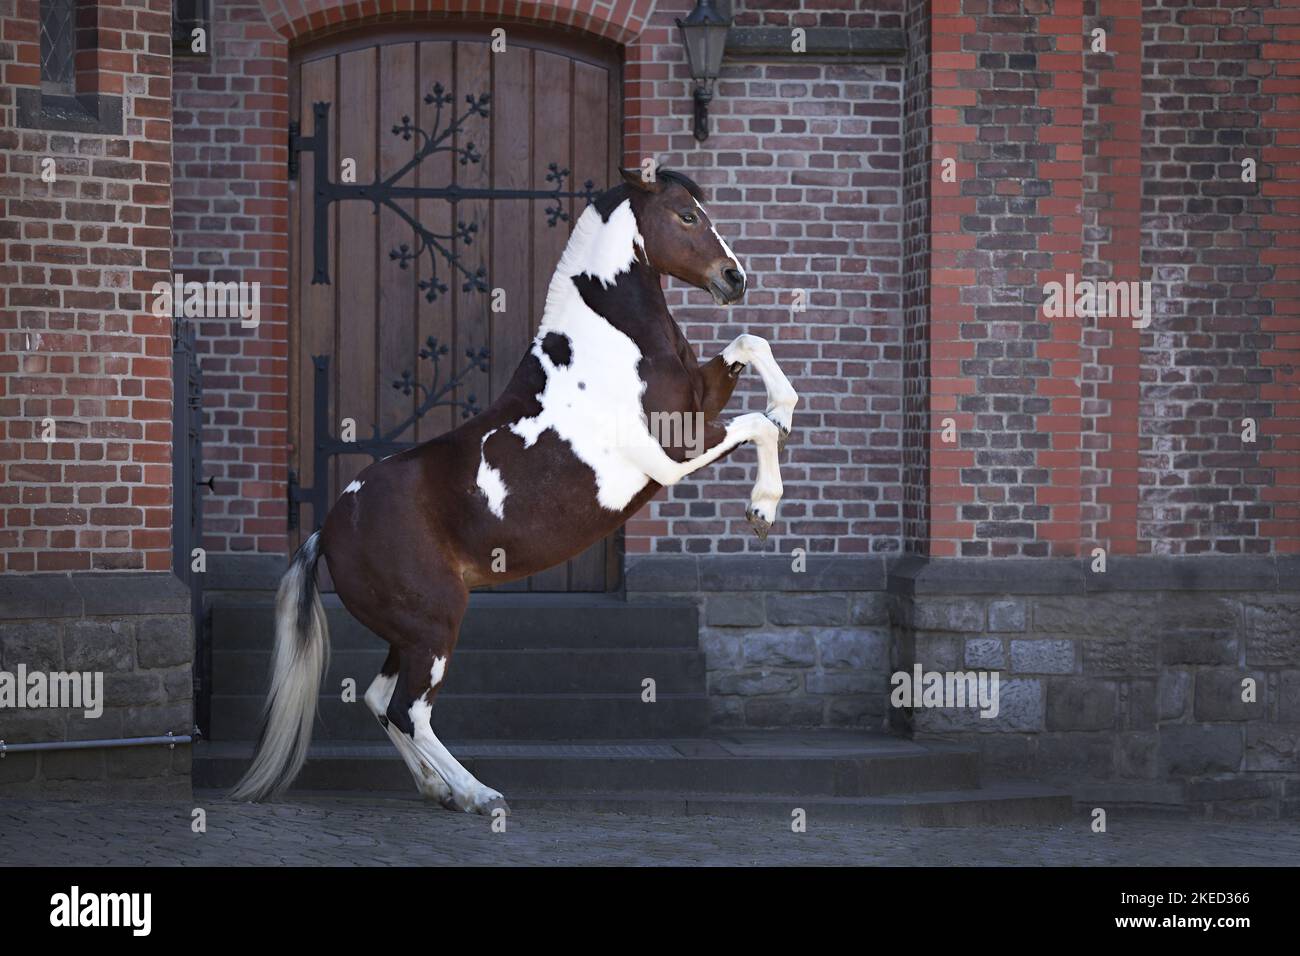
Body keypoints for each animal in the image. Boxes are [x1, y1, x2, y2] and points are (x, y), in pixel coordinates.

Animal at [230, 168, 799, 813]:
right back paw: (479, 795)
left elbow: (750, 345)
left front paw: (784, 413)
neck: (611, 344)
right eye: (686, 215)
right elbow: (757, 425)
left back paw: (439, 790)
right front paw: (762, 507)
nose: (734, 278)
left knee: (378, 700)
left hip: (409, 630)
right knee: (409, 710)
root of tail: (327, 528)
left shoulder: (700, 400)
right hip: (436, 623)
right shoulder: (675, 452)